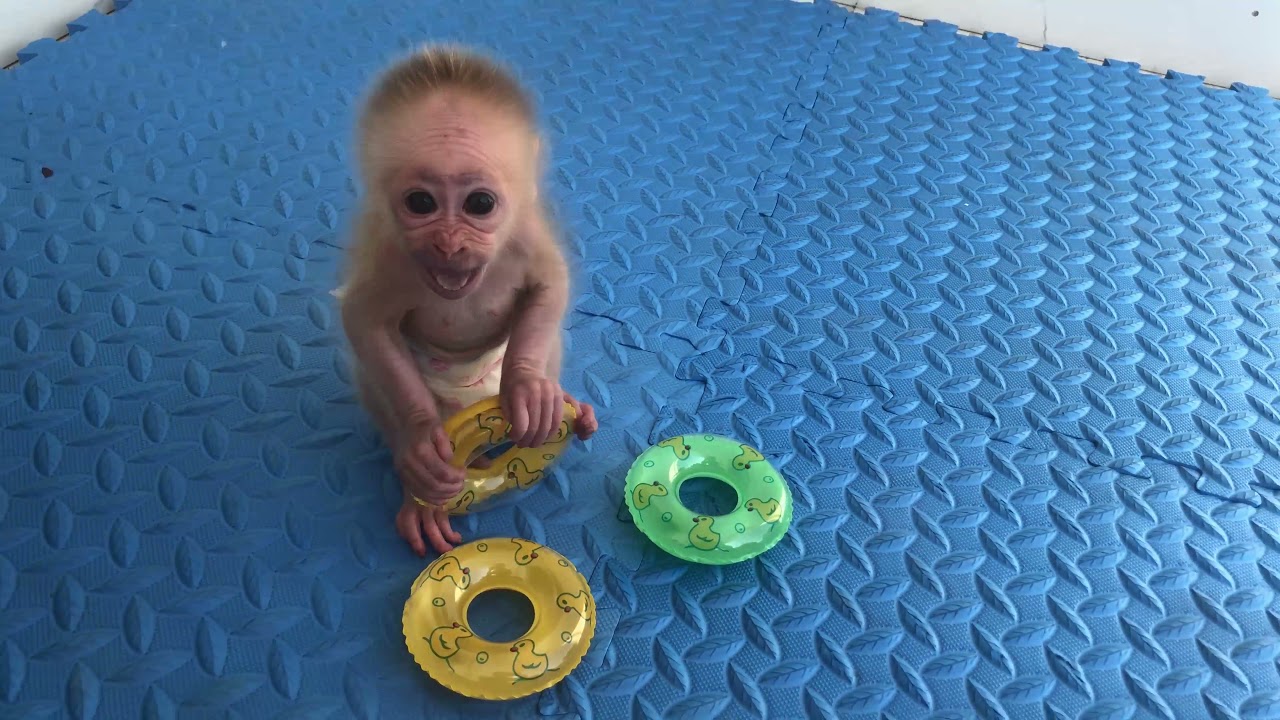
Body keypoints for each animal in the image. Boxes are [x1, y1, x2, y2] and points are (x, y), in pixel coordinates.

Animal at [337, 45, 599, 557]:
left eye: (480, 204)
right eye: (421, 203)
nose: (449, 242)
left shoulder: (526, 236)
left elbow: (549, 287)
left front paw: (528, 389)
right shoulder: (387, 253)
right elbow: (365, 321)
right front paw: (420, 438)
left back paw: (571, 406)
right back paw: (419, 495)